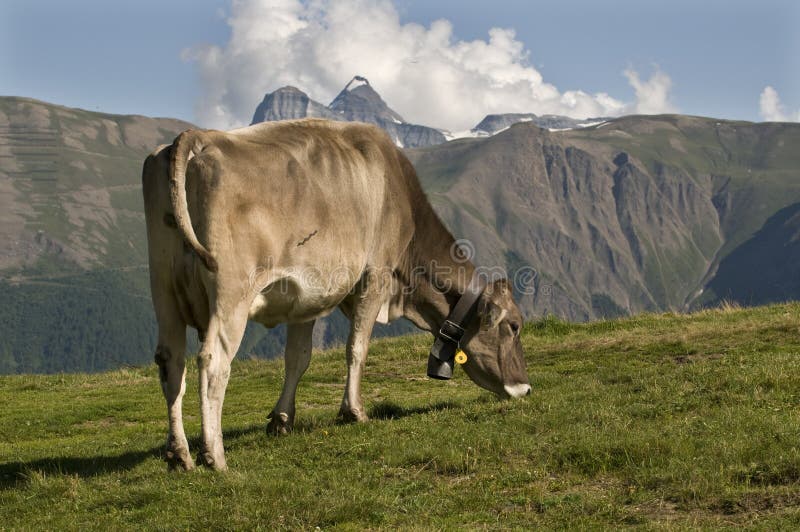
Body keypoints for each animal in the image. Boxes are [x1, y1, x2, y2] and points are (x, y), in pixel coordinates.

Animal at [142, 119, 530, 471]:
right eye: (513, 326)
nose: (525, 388)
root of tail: (199, 138)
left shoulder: (304, 296)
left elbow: (298, 358)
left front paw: (282, 419)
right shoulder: (375, 276)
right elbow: (357, 347)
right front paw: (354, 411)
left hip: (164, 289)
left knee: (171, 361)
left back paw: (179, 454)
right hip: (230, 292)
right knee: (213, 361)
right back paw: (215, 455)